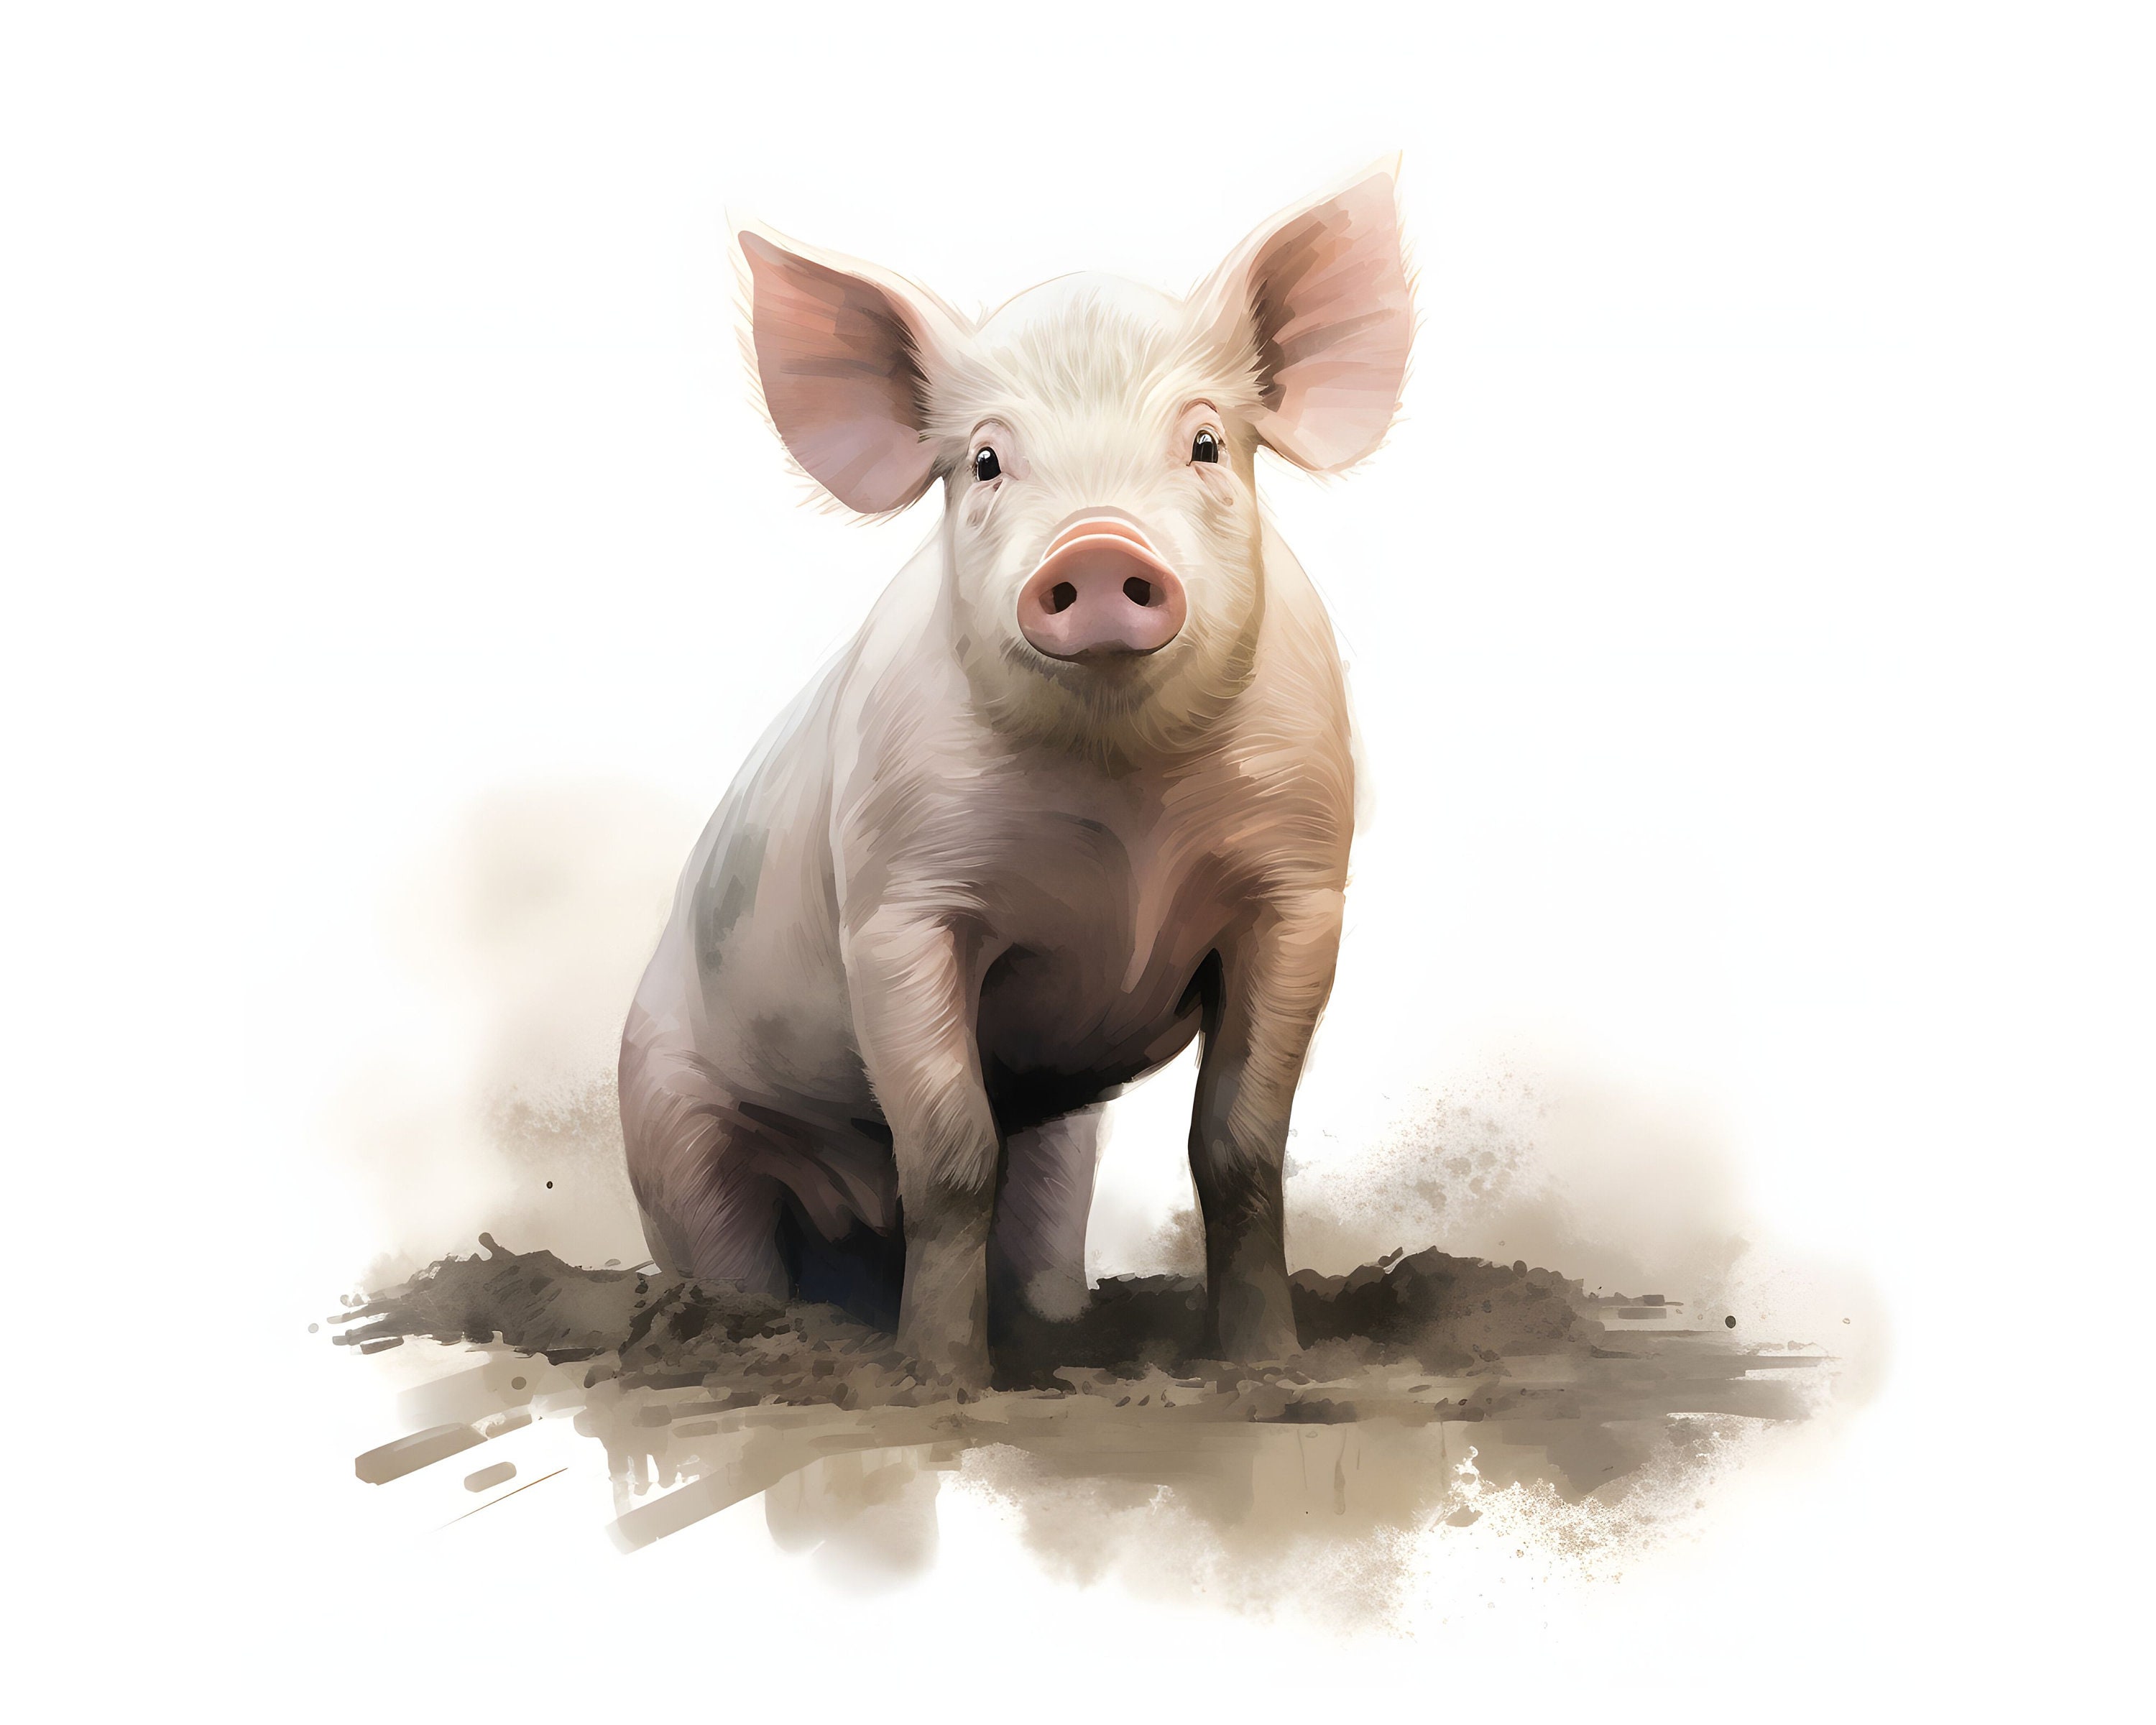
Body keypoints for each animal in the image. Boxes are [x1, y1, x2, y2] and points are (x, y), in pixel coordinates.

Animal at [621, 165, 1413, 1390]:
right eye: (987, 463)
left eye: (1205, 443)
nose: (1097, 548)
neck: (1126, 804)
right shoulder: (897, 904)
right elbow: (950, 1155)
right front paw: (942, 1386)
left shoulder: (1301, 892)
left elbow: (1238, 1149)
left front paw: (1269, 1371)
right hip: (667, 1128)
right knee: (733, 1248)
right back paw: (764, 1341)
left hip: (1063, 1150)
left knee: (1038, 1213)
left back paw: (1054, 1338)